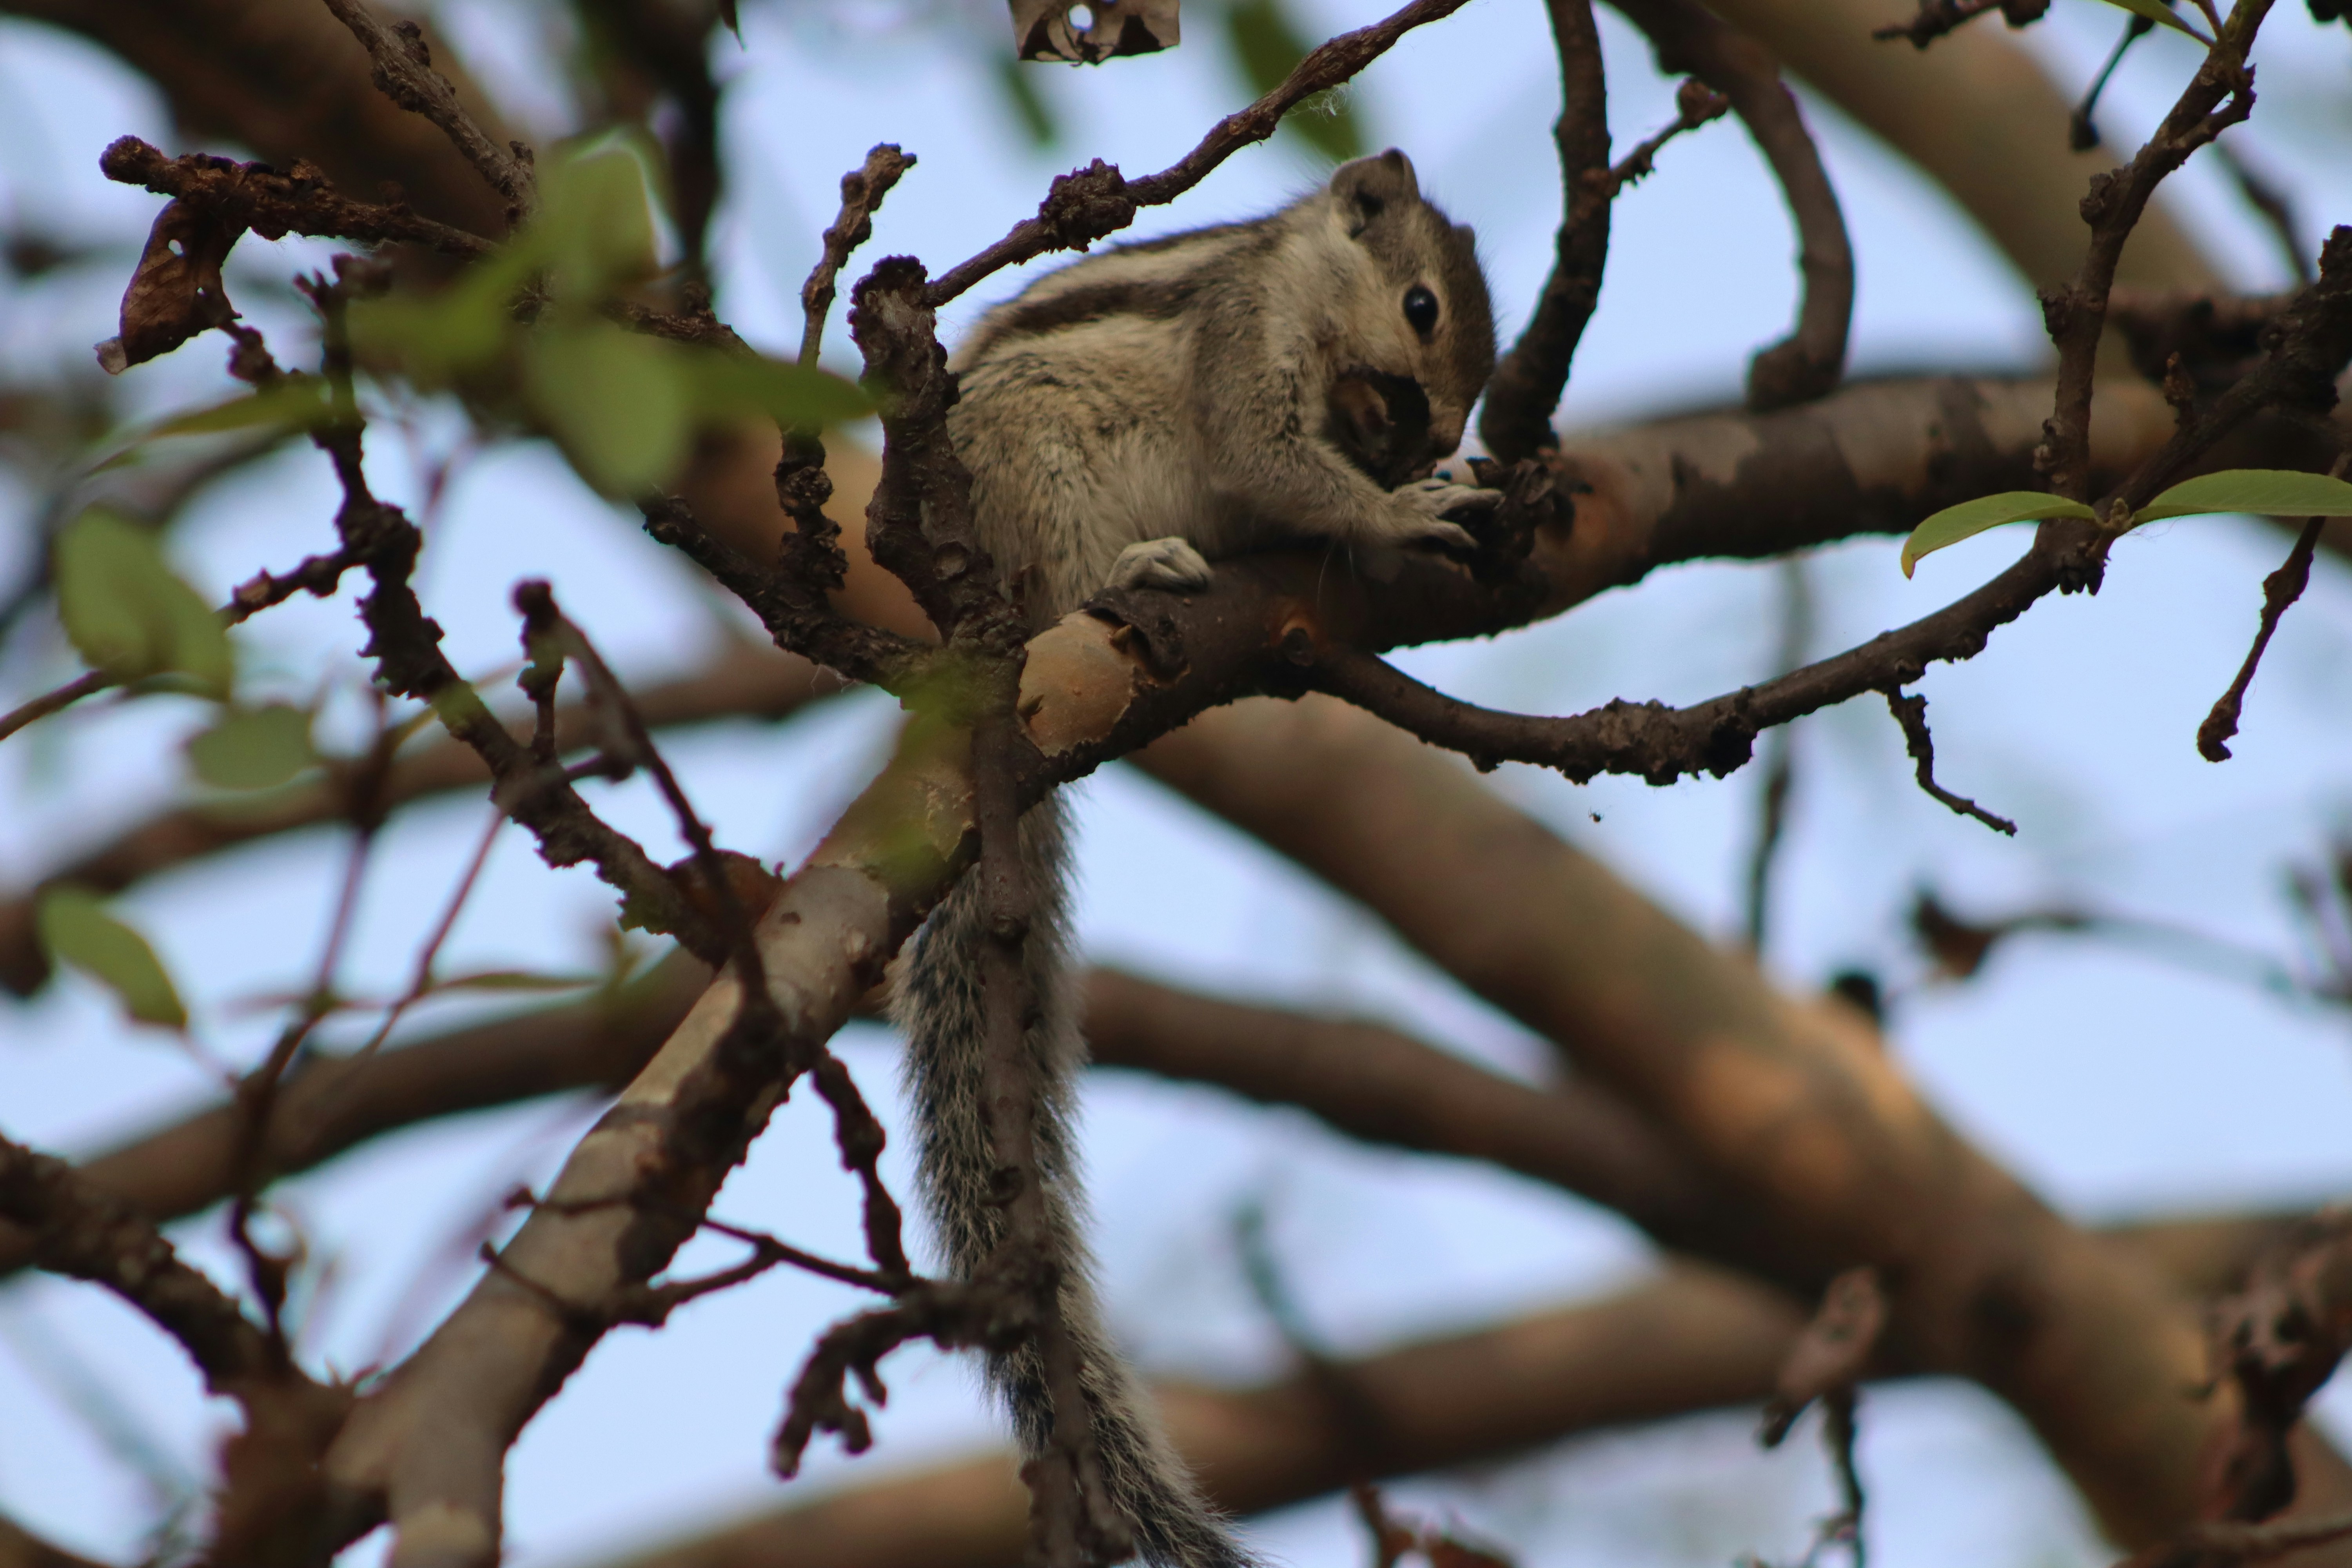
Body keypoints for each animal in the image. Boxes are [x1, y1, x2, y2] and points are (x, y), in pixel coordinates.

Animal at [890, 149, 1496, 1568]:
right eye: (1425, 308)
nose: (1439, 440)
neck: (1300, 288)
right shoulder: (1239, 359)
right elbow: (1276, 467)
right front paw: (1401, 514)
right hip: (1040, 479)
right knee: (1060, 593)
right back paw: (1140, 562)